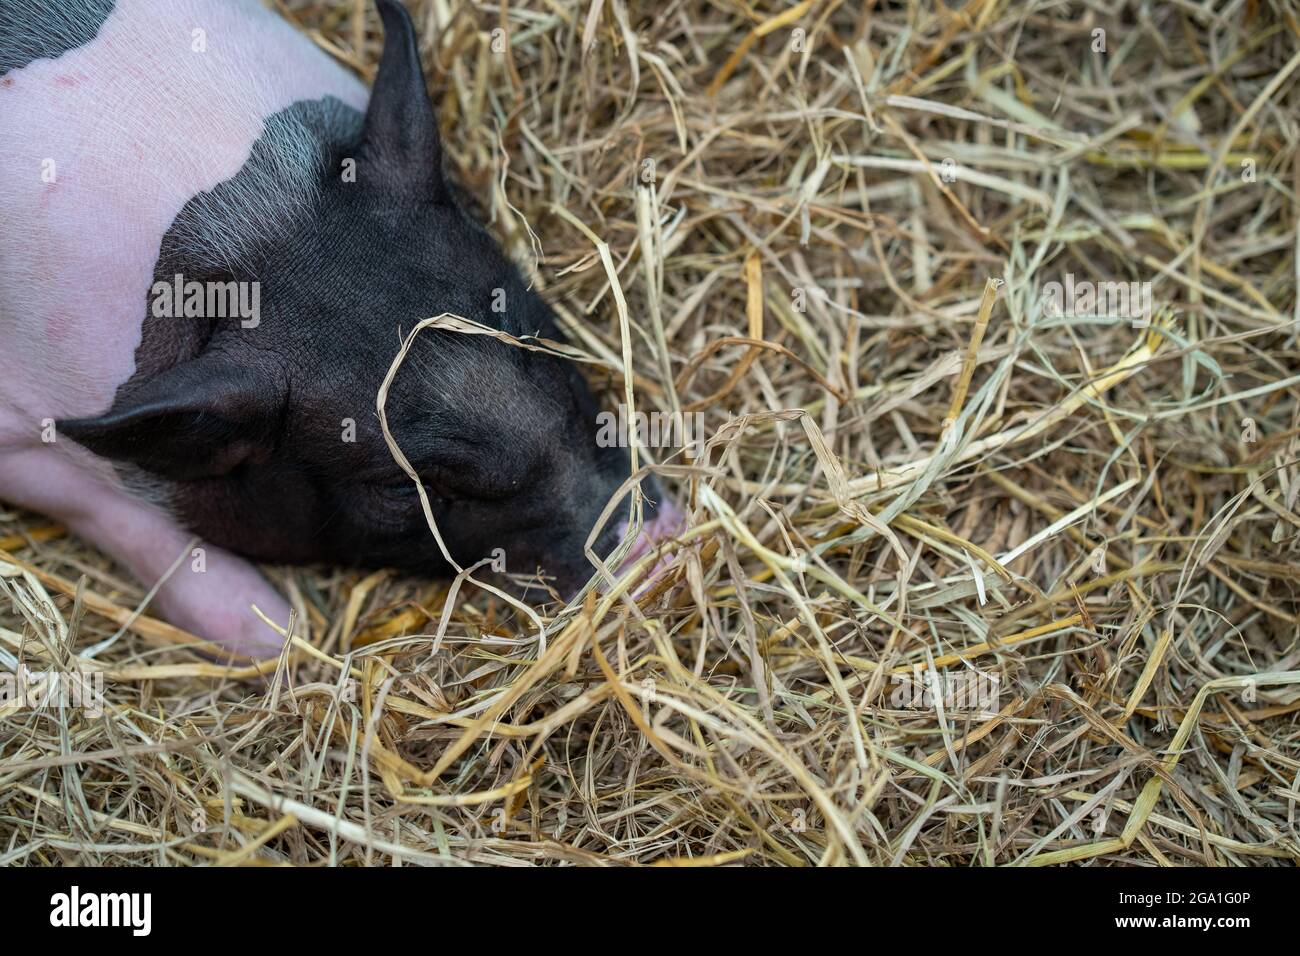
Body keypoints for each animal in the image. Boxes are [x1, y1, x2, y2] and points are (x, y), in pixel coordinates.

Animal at [0, 0, 682, 657]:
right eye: (401, 490)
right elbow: (111, 510)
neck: (263, 233)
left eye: (532, 337)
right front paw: (274, 636)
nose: (651, 548)